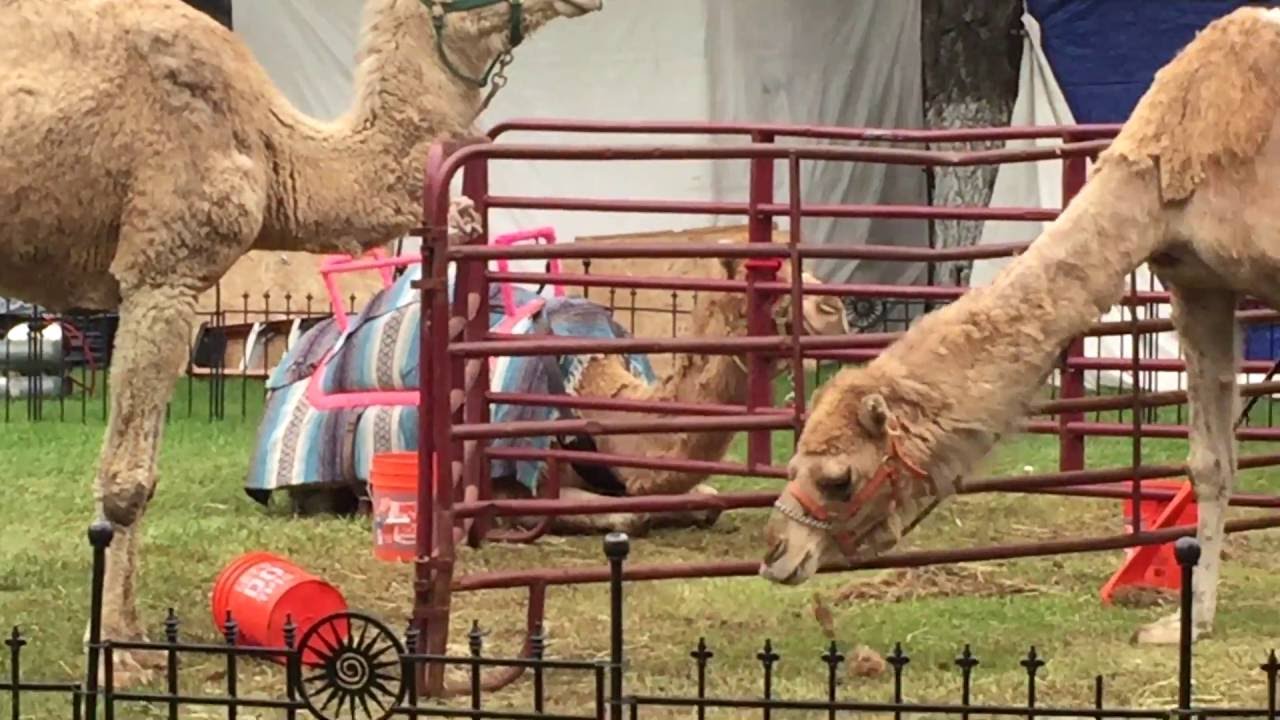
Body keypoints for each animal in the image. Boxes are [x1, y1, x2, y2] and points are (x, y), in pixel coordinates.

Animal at [759, 5, 1280, 647]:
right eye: (793, 463)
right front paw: (1185, 625)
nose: (777, 551)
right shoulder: (1200, 283)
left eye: (839, 479)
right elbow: (1210, 462)